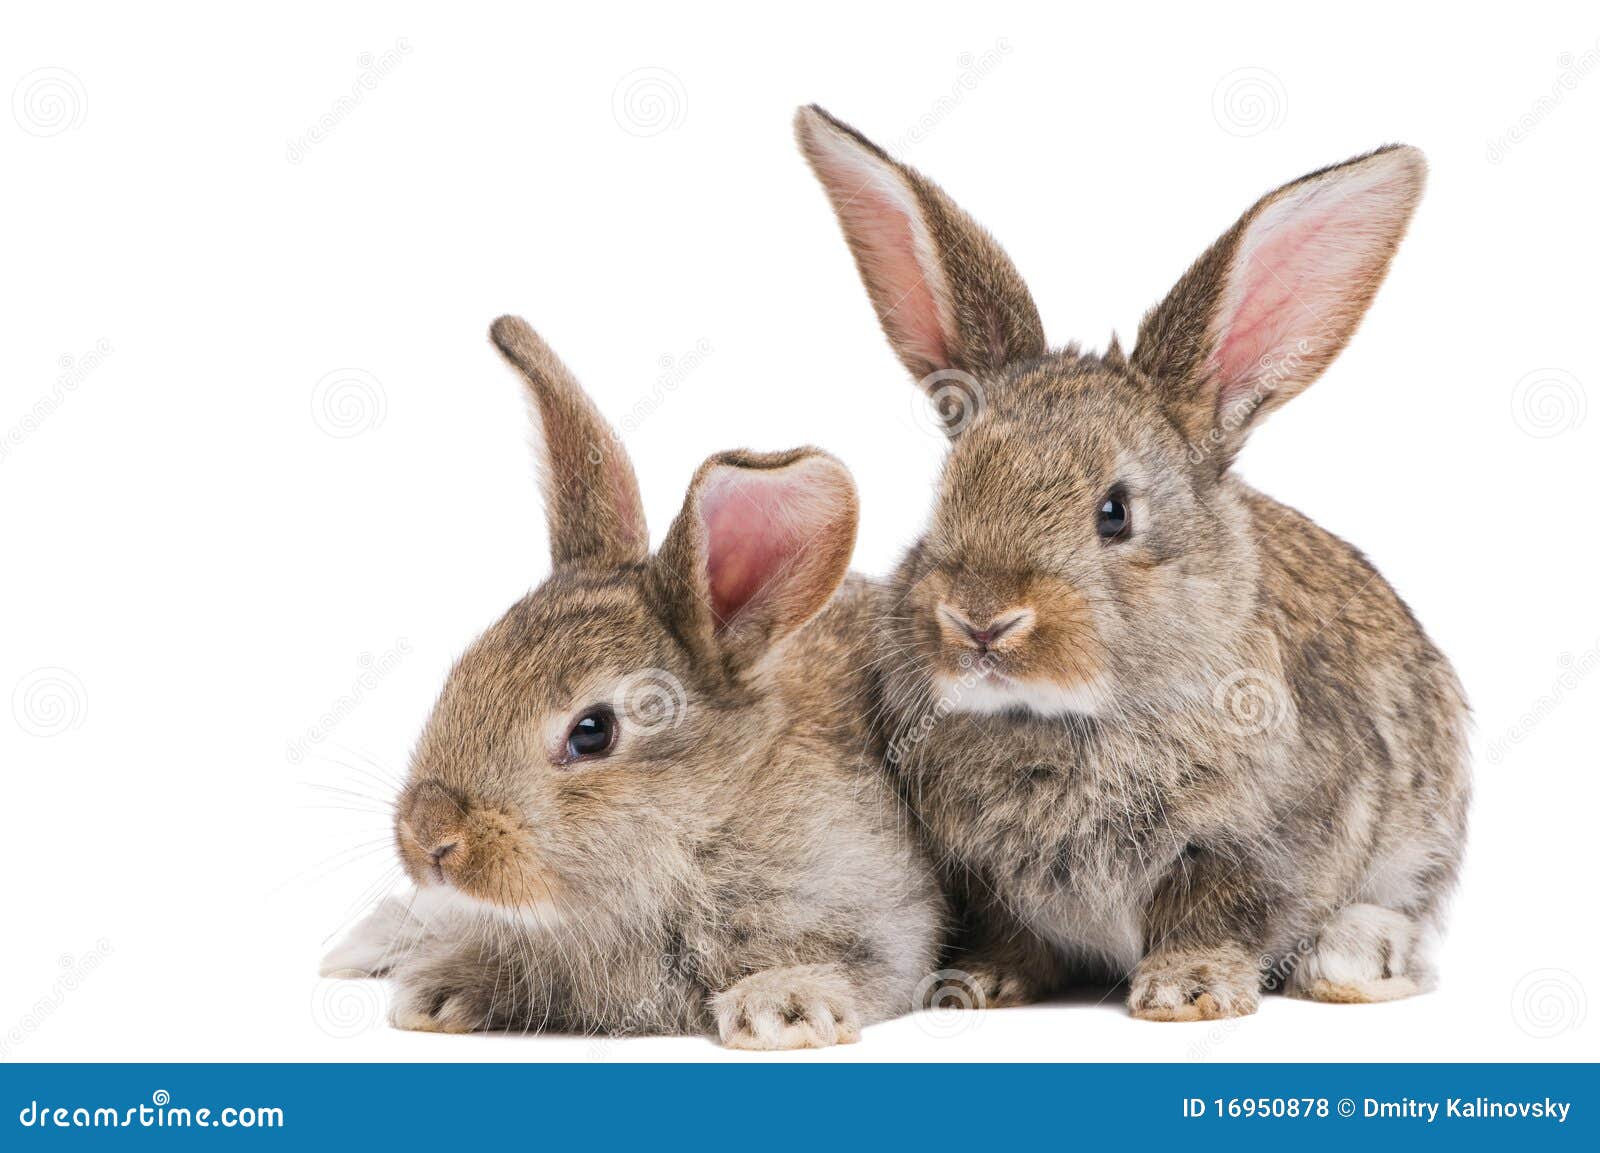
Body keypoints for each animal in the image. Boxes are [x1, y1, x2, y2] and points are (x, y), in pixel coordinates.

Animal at [320, 314, 945, 1048]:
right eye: (461, 673)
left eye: (593, 732)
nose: (431, 837)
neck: (701, 826)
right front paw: (440, 992)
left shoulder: (883, 921)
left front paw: (782, 1008)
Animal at [794, 105, 1470, 1021]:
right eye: (946, 492)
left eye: (1114, 512)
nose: (980, 619)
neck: (1060, 719)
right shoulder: (987, 878)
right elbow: (1016, 932)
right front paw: (977, 984)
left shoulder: (1251, 847)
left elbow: (1215, 914)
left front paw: (1188, 990)